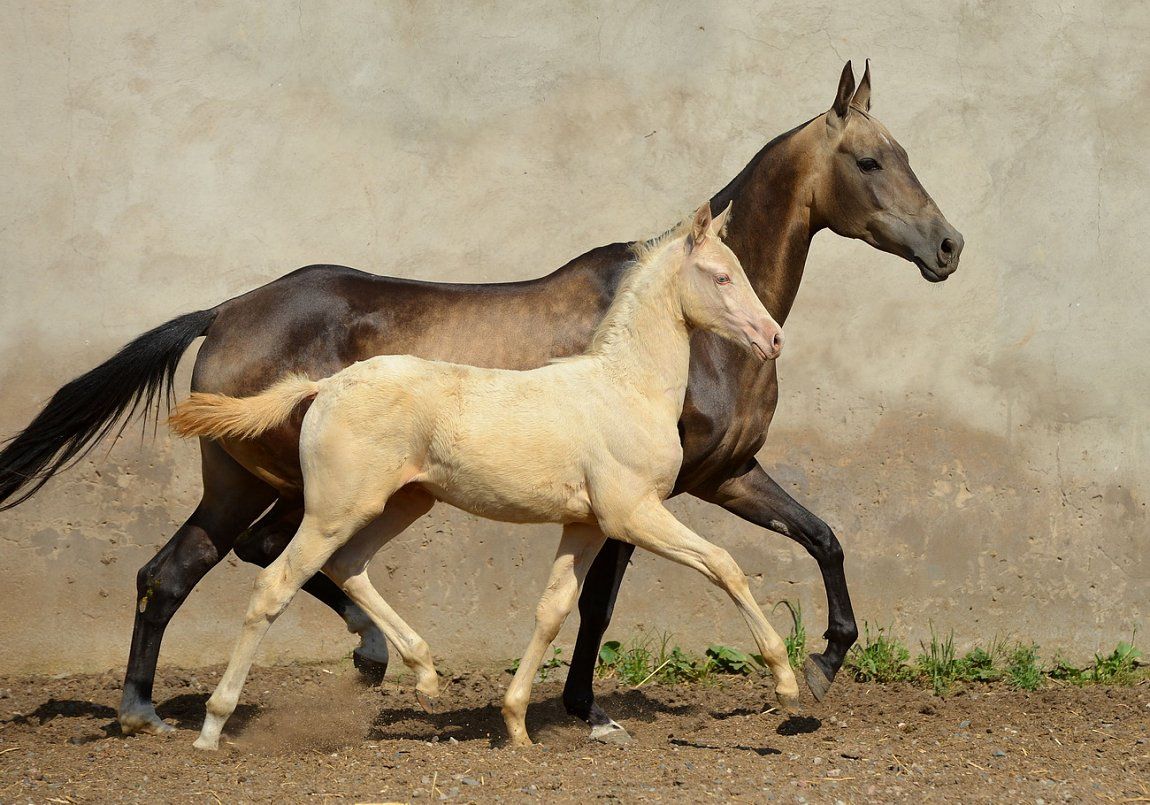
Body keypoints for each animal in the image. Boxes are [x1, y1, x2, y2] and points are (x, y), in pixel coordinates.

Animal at [169, 203, 793, 749]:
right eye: (720, 276)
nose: (773, 339)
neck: (626, 388)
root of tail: (323, 386)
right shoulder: (632, 513)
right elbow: (724, 565)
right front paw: (786, 682)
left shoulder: (587, 524)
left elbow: (552, 609)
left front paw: (516, 725)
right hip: (334, 510)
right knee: (274, 586)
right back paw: (212, 728)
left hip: (403, 502)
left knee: (348, 566)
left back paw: (425, 675)